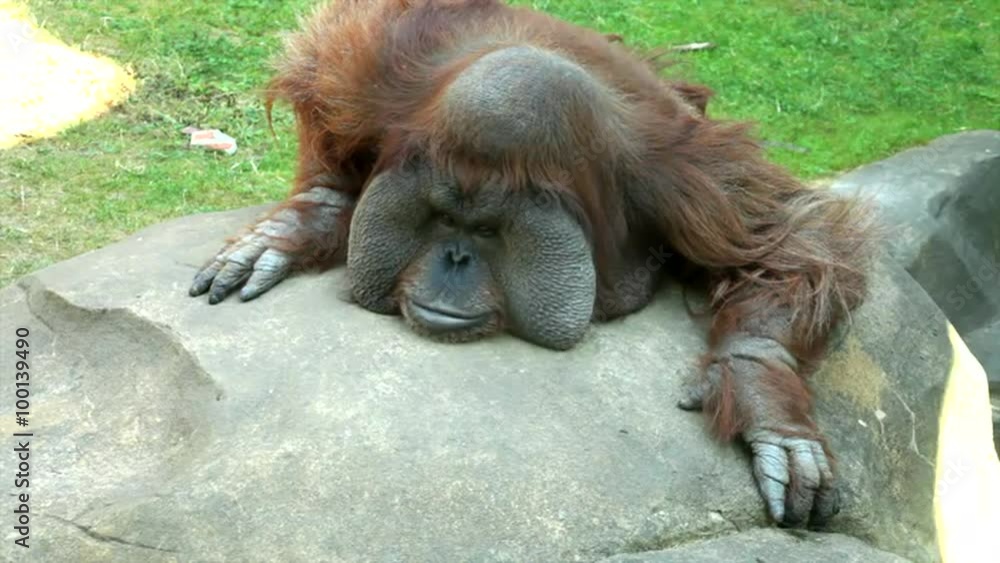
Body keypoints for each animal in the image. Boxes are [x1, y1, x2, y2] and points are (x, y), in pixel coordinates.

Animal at [188, 0, 875, 528]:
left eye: (487, 232)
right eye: (443, 219)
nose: (455, 258)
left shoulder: (689, 184)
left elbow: (792, 239)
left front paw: (767, 404)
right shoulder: (366, 83)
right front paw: (309, 215)